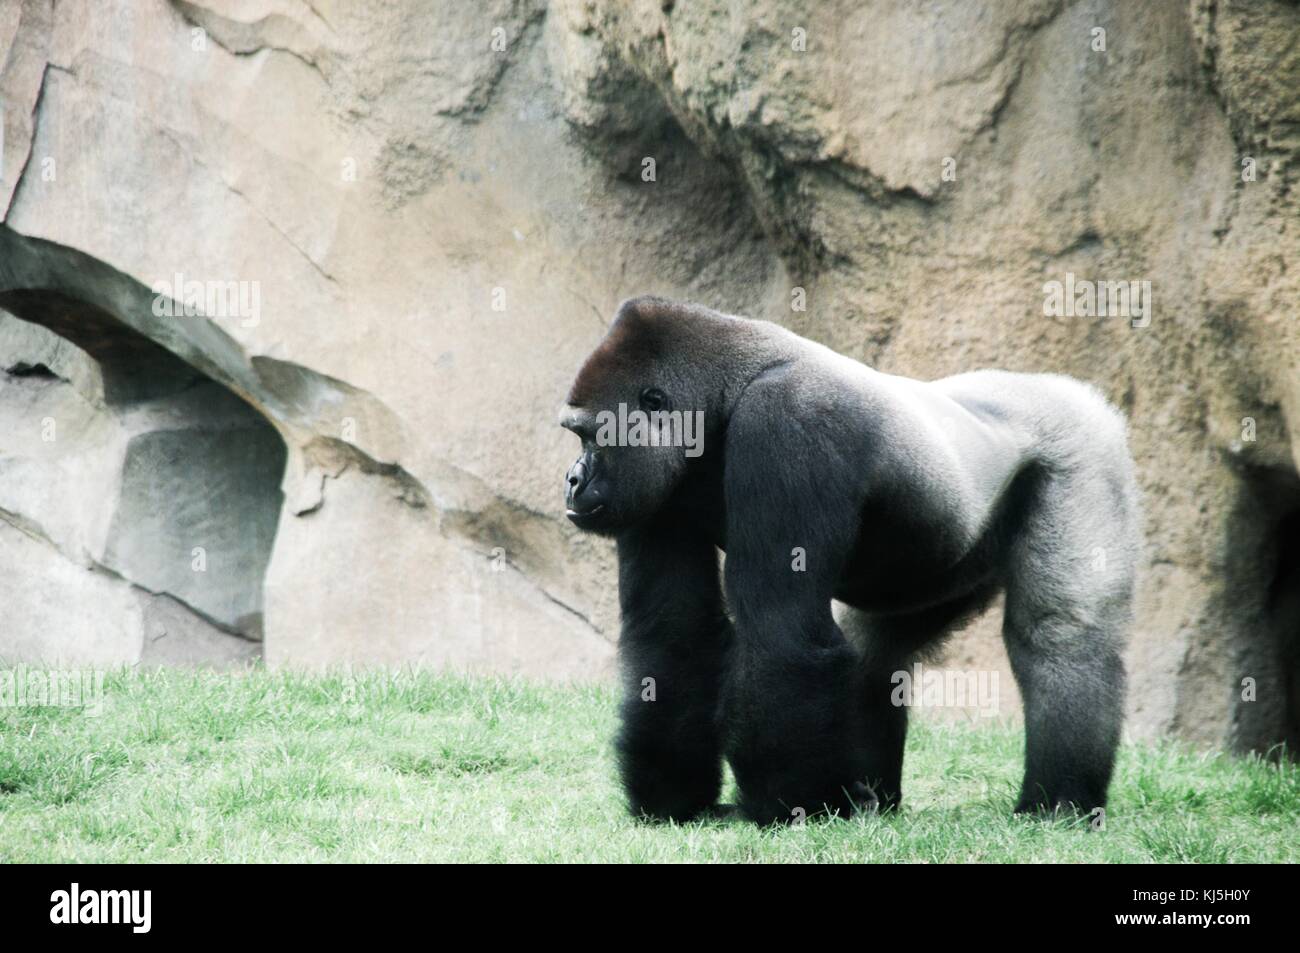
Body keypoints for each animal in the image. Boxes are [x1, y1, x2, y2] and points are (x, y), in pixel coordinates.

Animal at [560, 296, 1140, 825]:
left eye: (590, 434)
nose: (572, 480)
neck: (725, 394)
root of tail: (1068, 389)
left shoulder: (788, 421)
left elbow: (781, 629)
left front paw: (785, 806)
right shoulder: (654, 484)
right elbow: (675, 631)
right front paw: (674, 799)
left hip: (1083, 446)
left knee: (1060, 634)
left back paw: (1059, 803)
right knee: (879, 650)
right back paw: (874, 798)